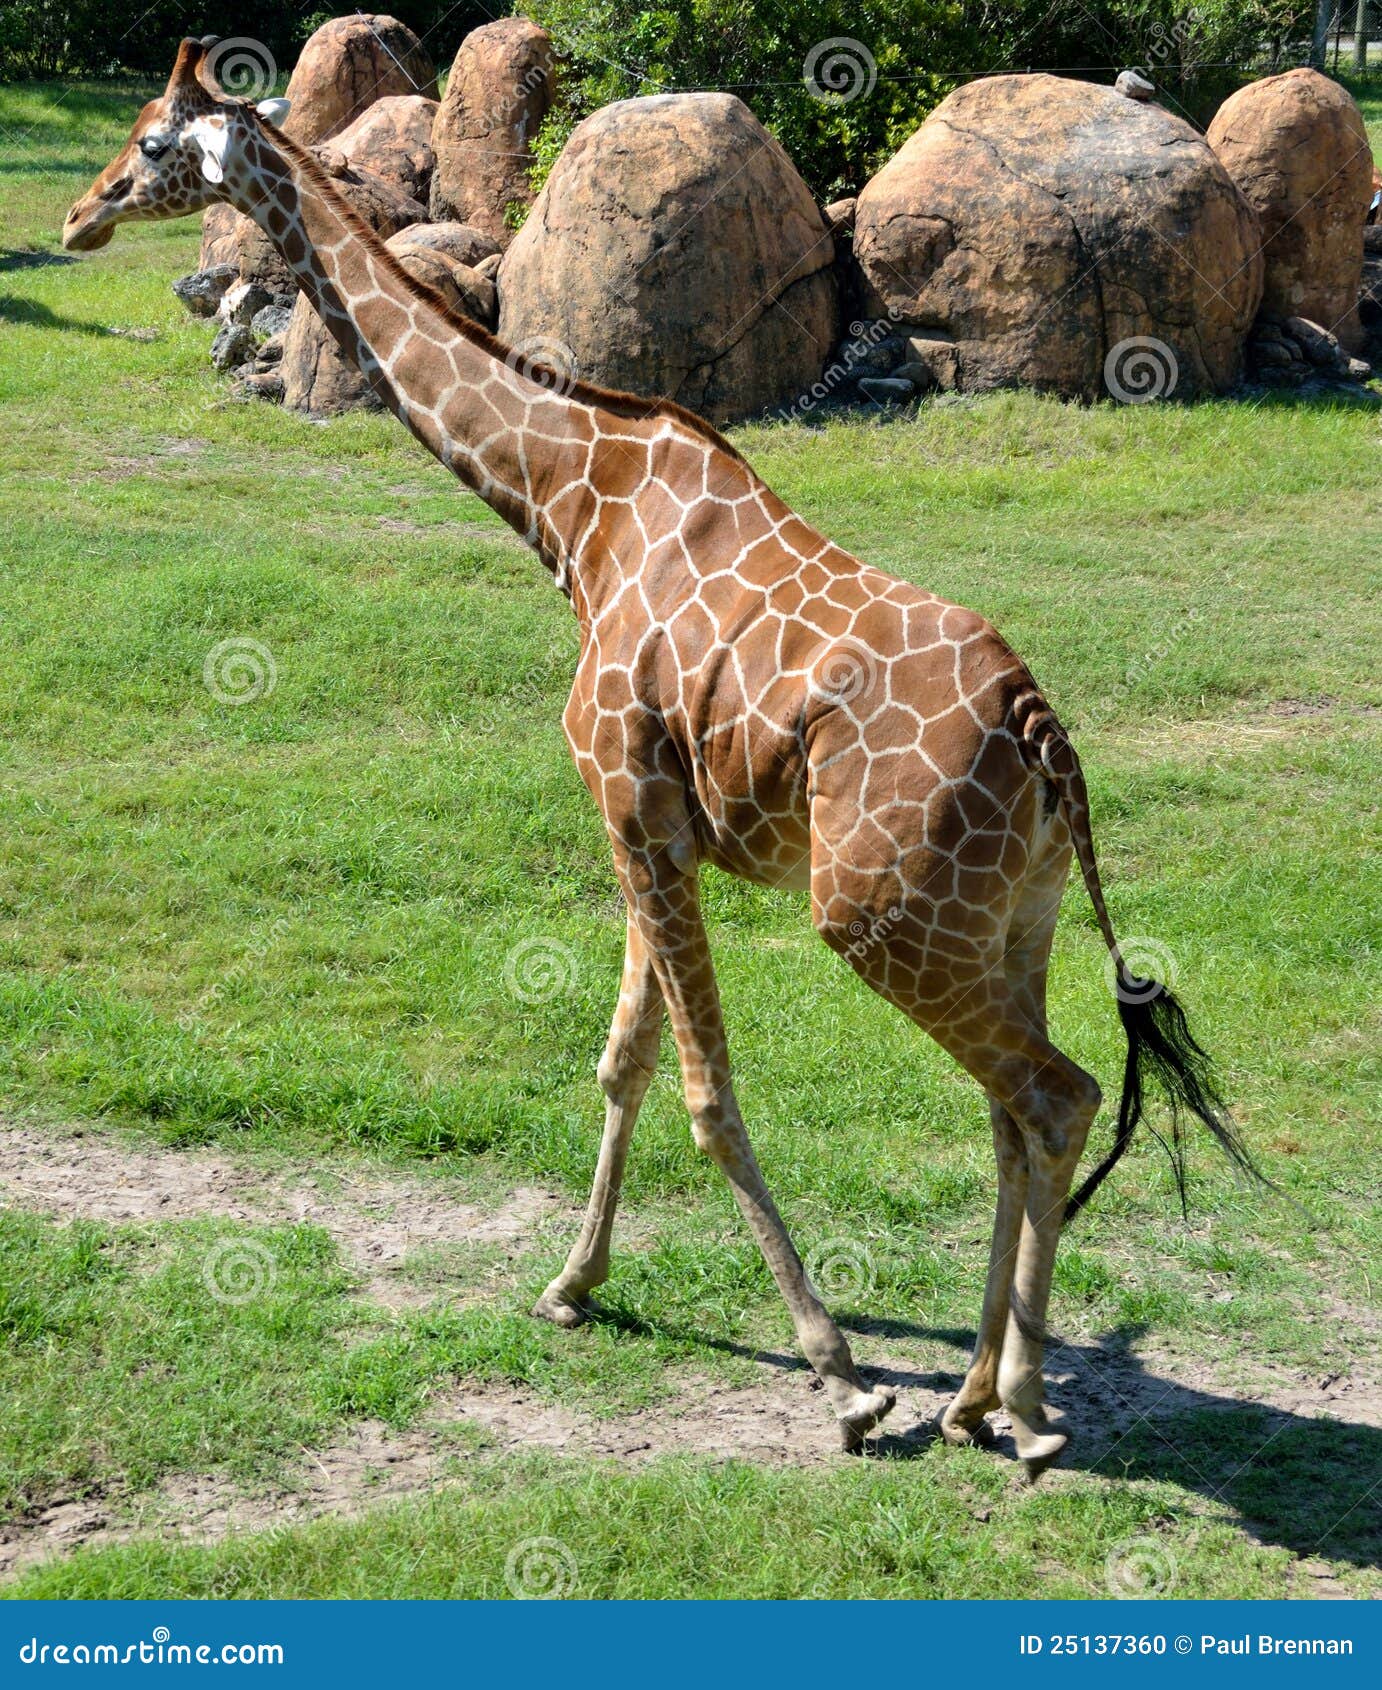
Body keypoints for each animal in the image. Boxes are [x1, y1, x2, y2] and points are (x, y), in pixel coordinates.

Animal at [64, 38, 1257, 1478]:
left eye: (151, 140)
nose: (77, 216)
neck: (567, 508)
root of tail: (1047, 734)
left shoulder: (628, 801)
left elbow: (702, 1088)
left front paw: (839, 1375)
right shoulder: (648, 819)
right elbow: (622, 1058)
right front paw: (571, 1284)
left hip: (876, 913)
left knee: (1055, 1092)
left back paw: (1016, 1404)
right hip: (1006, 912)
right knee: (1012, 1107)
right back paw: (977, 1395)